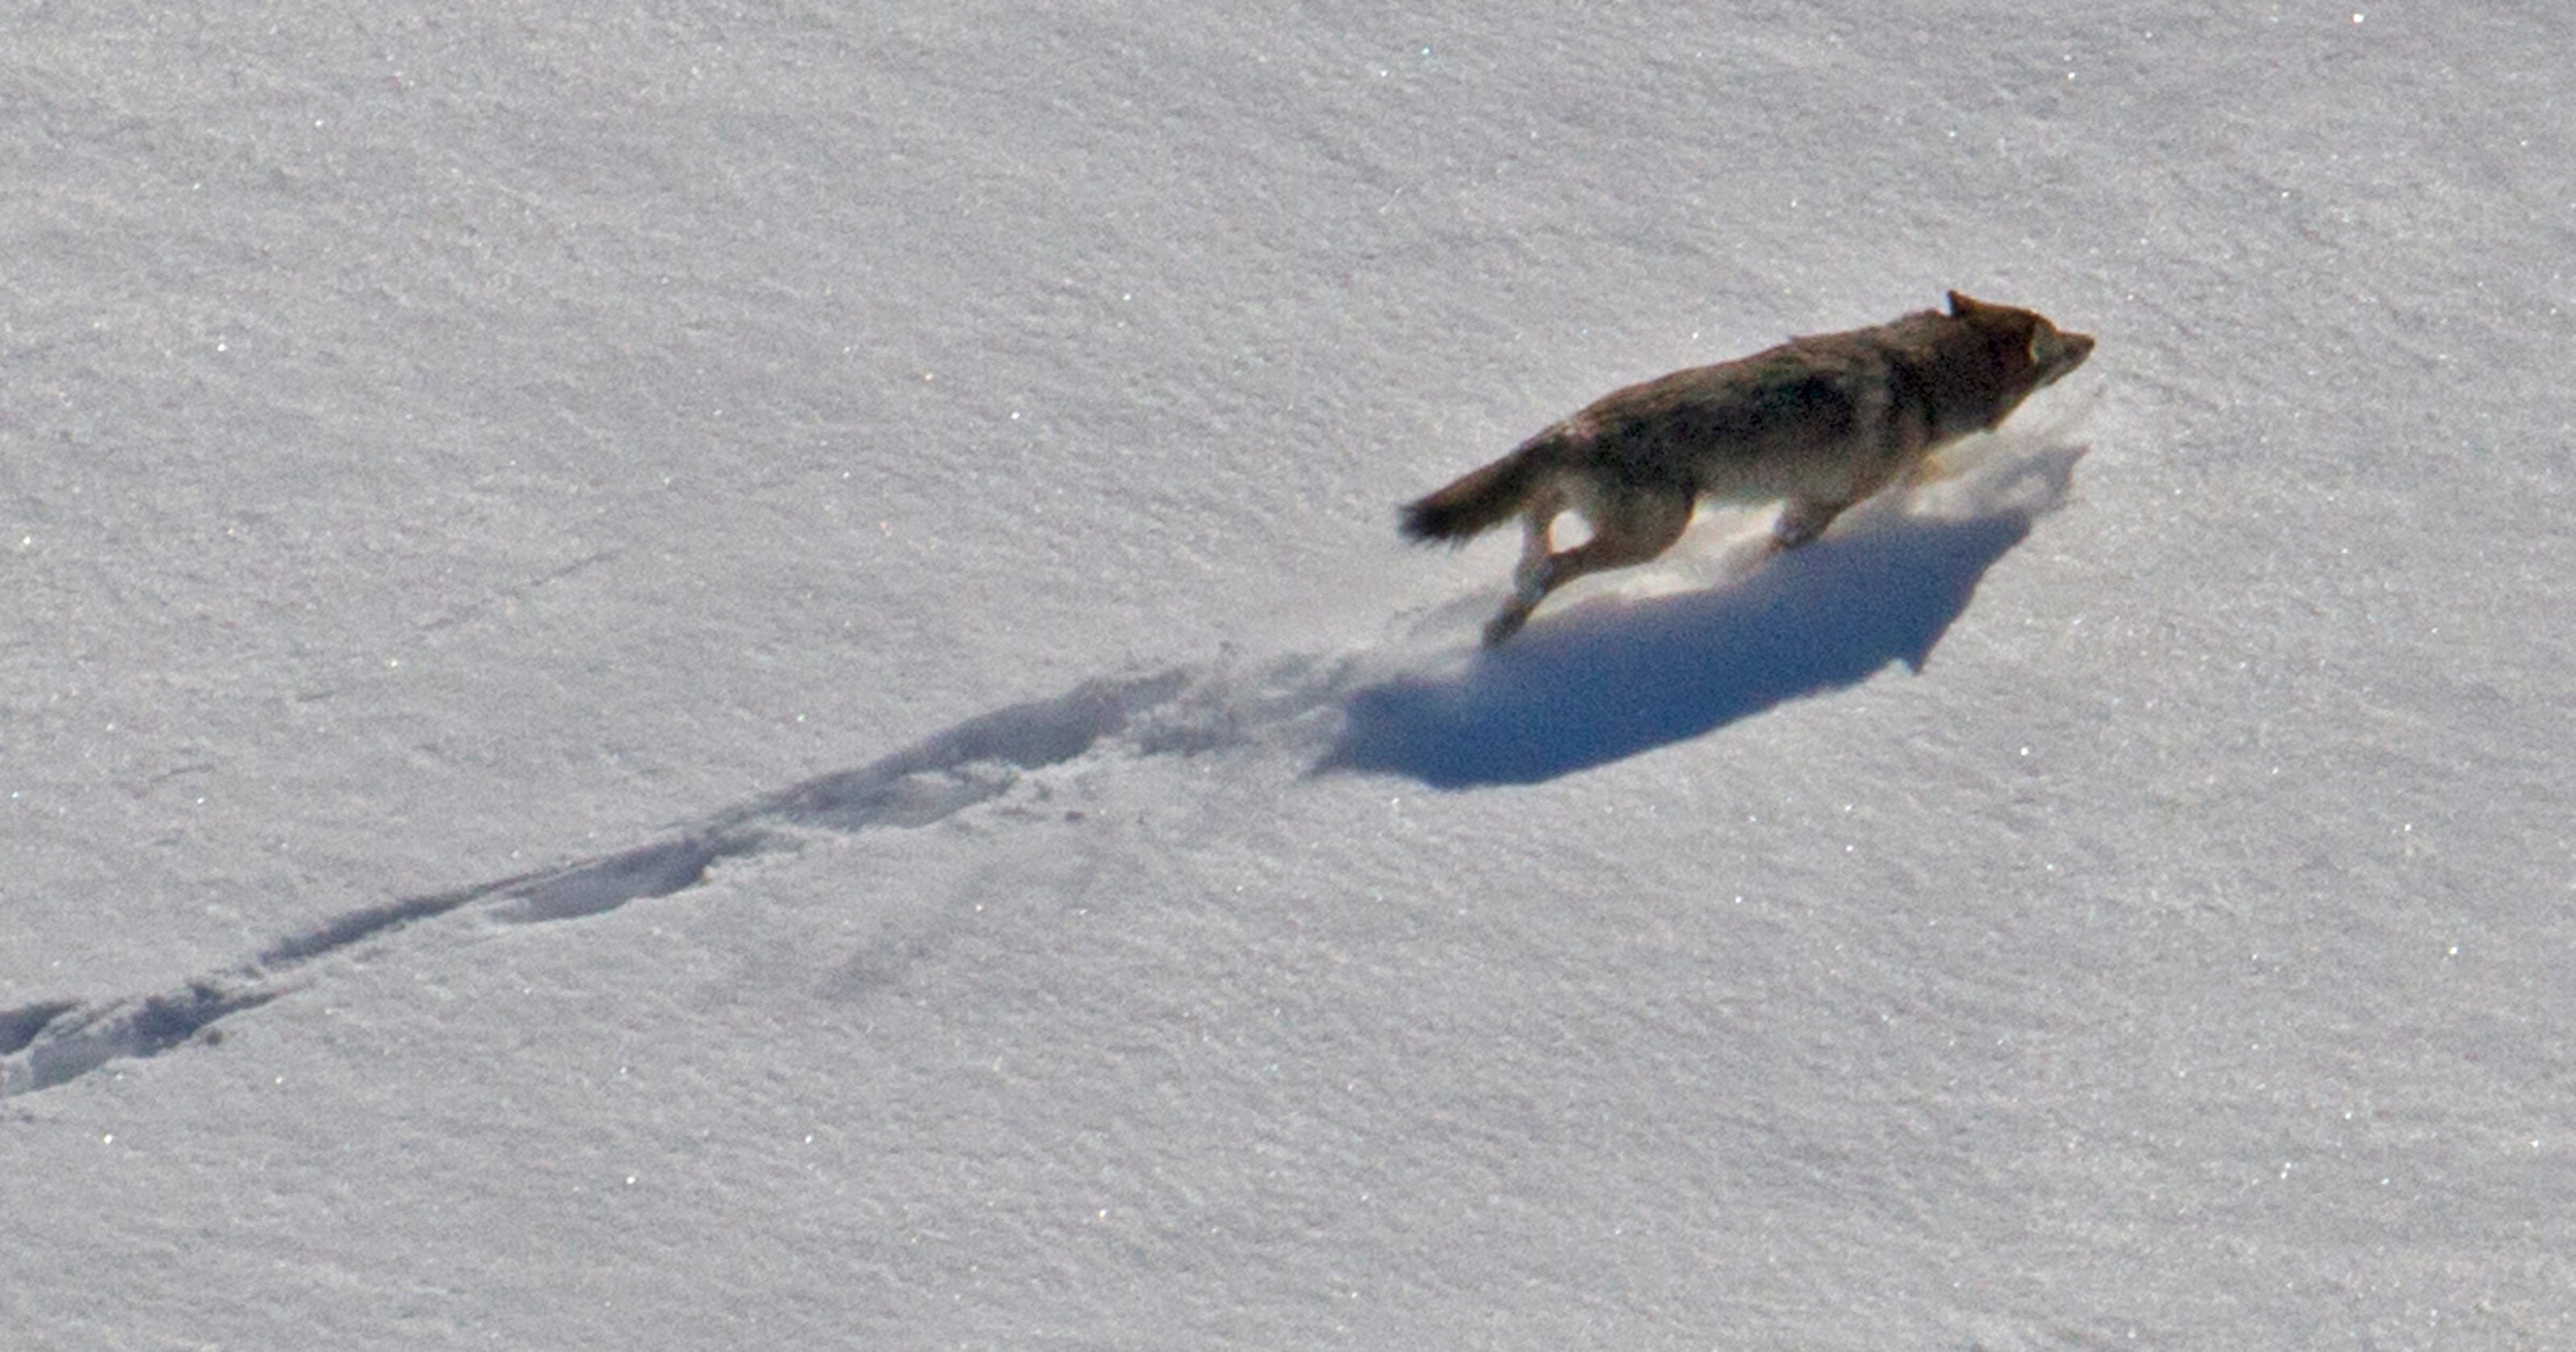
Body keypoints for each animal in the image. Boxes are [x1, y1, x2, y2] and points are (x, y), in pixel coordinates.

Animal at [1402, 292, 2094, 645]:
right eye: (2060, 344)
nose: (2094, 339)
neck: (1920, 377)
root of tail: (1573, 429)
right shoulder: (1817, 507)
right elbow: (1787, 542)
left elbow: (1932, 472)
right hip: (1654, 535)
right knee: (1553, 565)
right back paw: (1514, 620)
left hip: (1588, 510)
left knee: (1531, 535)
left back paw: (1503, 618)